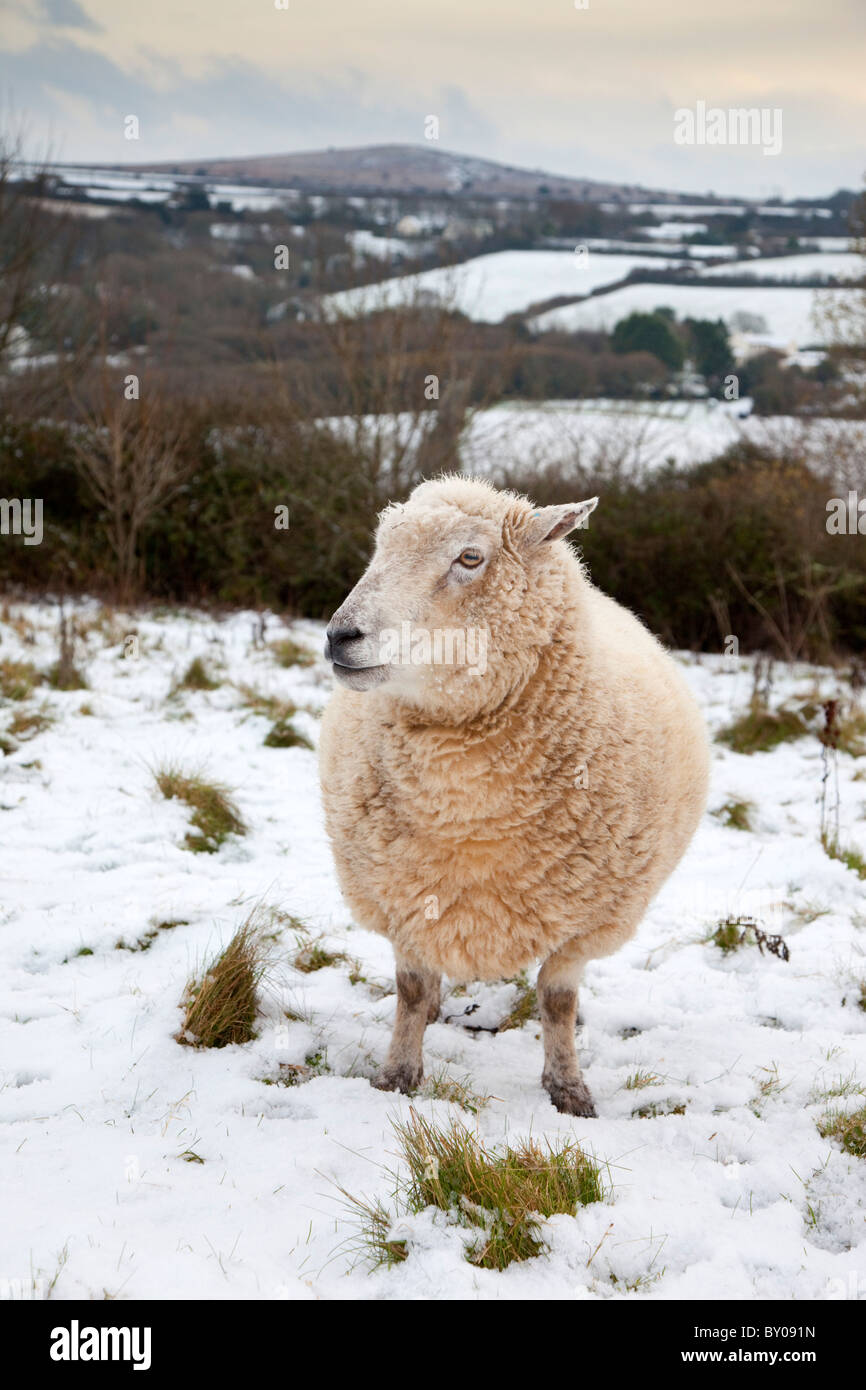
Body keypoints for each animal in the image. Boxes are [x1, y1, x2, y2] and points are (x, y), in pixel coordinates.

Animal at [319, 476, 710, 1115]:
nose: (339, 636)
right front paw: (397, 1076)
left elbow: (556, 1002)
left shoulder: (587, 920)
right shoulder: (402, 895)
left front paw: (569, 1090)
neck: (469, 809)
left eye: (470, 557)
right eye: (381, 547)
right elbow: (412, 990)